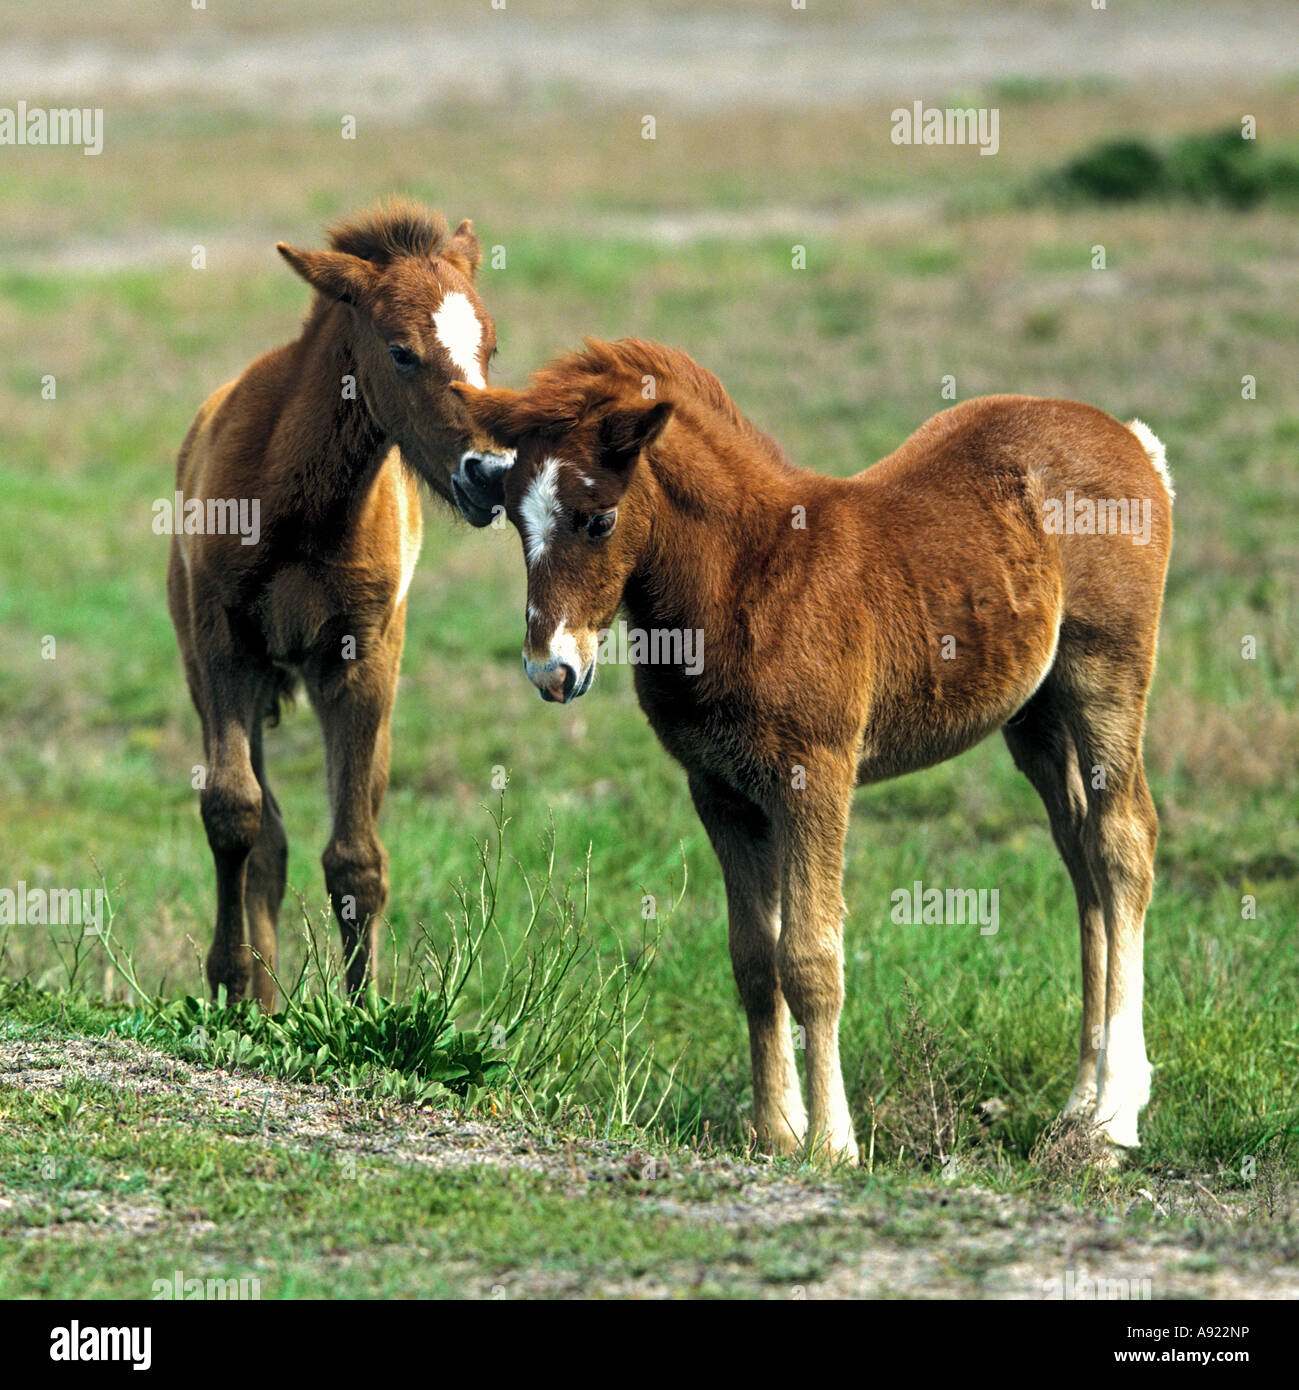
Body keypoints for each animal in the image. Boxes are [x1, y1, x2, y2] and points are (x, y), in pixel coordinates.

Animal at [167, 198, 503, 1010]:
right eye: (401, 352)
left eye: (492, 347)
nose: (490, 474)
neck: (301, 509)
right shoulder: (224, 644)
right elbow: (234, 812)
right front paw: (232, 983)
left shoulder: (363, 656)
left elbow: (356, 855)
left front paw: (361, 1012)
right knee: (265, 831)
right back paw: (257, 993)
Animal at [448, 338, 1173, 1163]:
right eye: (514, 519)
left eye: (599, 520)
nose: (552, 672)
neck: (745, 579)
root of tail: (1129, 440)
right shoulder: (719, 791)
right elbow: (753, 962)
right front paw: (775, 1131)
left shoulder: (816, 778)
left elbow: (809, 960)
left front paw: (832, 1142)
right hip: (1035, 716)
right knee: (1080, 854)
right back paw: (1077, 1106)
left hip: (1104, 673)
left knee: (1121, 844)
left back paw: (1114, 1115)